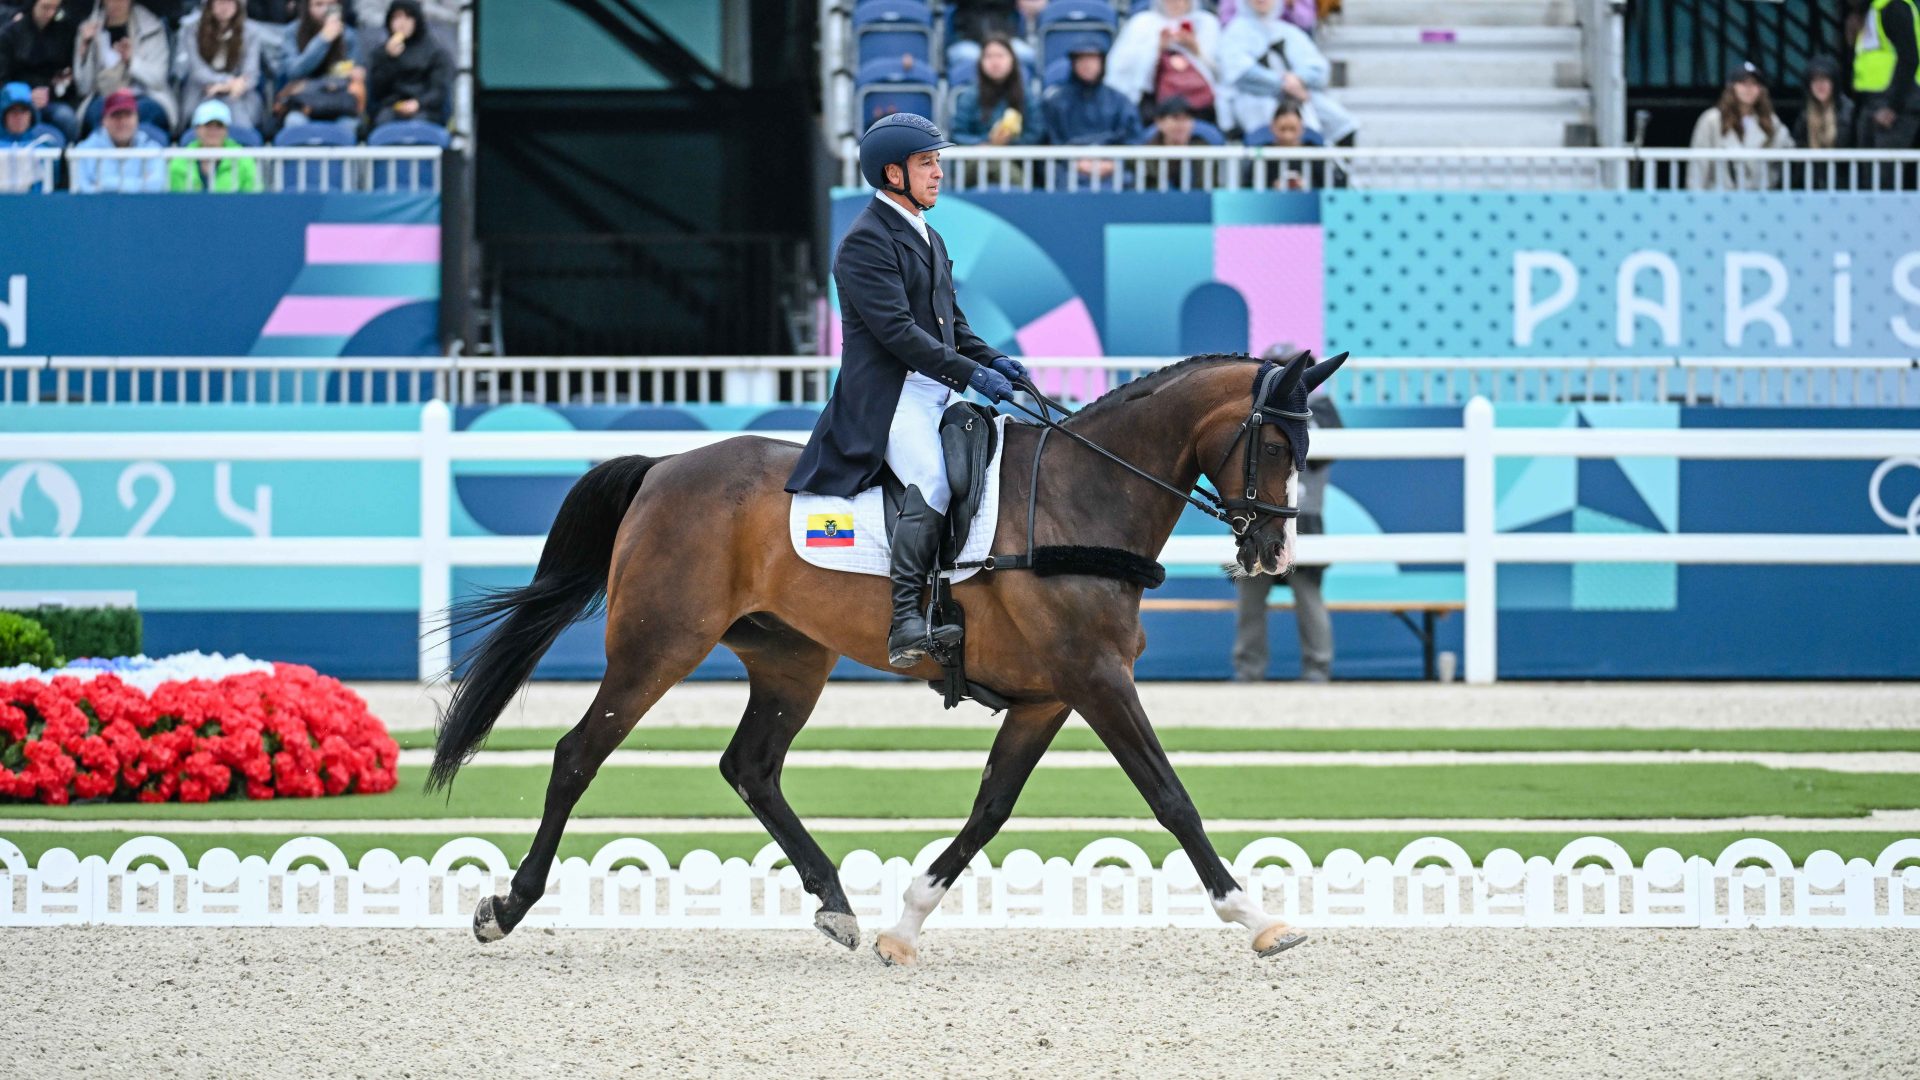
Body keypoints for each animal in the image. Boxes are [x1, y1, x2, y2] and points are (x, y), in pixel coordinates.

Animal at [428, 349, 1347, 964]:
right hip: (656, 646)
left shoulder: (1049, 696)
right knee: (578, 755)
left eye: (1308, 451)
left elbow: (989, 809)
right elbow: (1171, 798)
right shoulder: (1097, 680)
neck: (1081, 497)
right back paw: (507, 907)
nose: (1273, 553)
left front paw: (905, 926)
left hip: (791, 661)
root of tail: (665, 468)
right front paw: (1256, 917)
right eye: (1273, 446)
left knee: (751, 767)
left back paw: (837, 905)